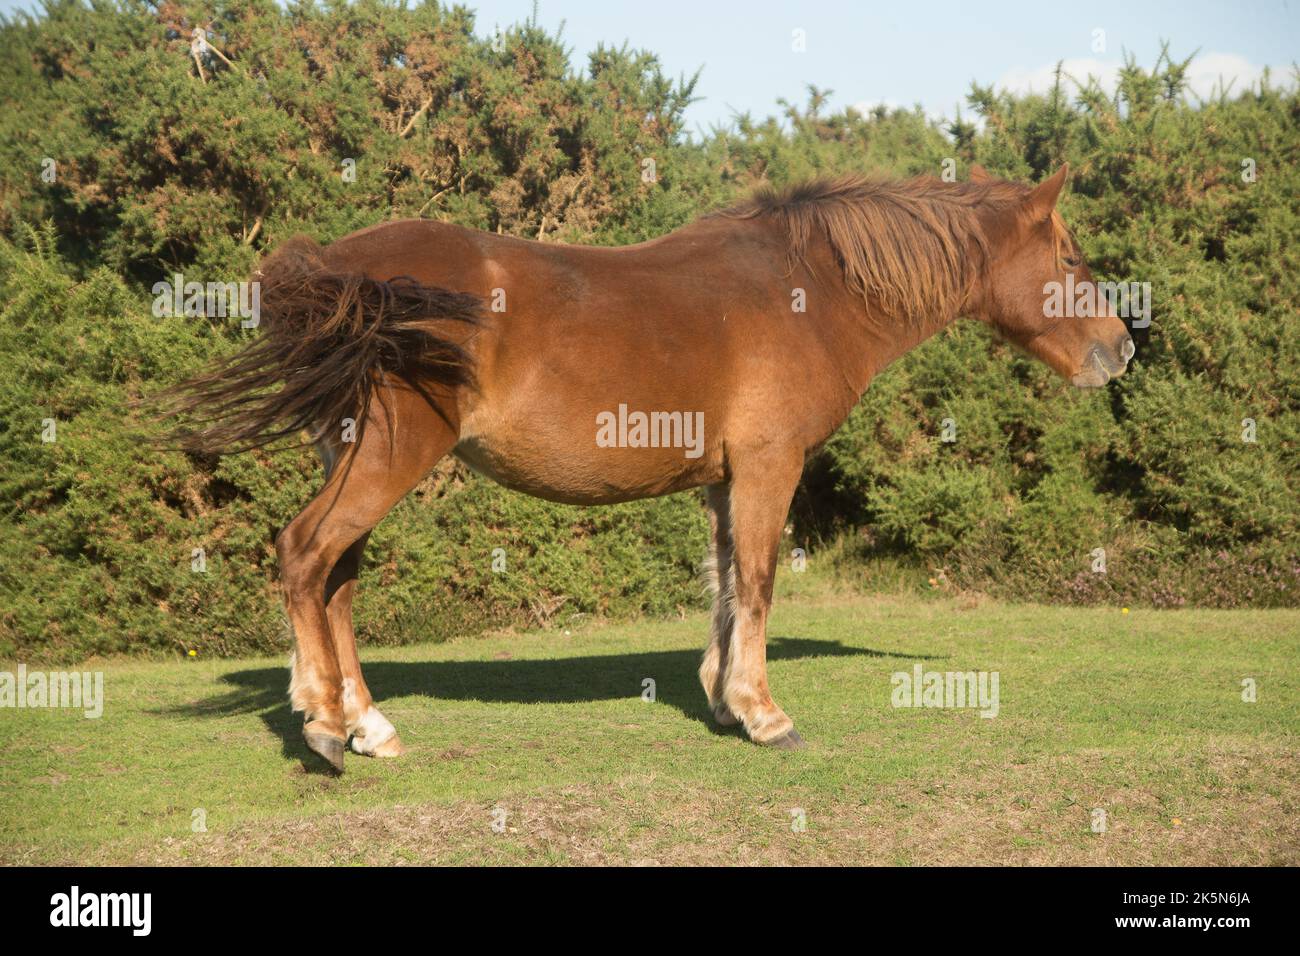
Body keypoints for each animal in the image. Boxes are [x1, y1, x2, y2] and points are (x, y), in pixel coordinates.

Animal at [164, 162, 1134, 772]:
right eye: (1069, 256)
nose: (1122, 347)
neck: (811, 288)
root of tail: (338, 267)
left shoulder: (724, 478)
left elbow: (725, 584)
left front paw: (722, 700)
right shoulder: (769, 467)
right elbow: (759, 582)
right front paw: (764, 714)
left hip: (357, 454)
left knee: (337, 579)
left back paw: (366, 722)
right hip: (390, 456)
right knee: (305, 555)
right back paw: (328, 727)